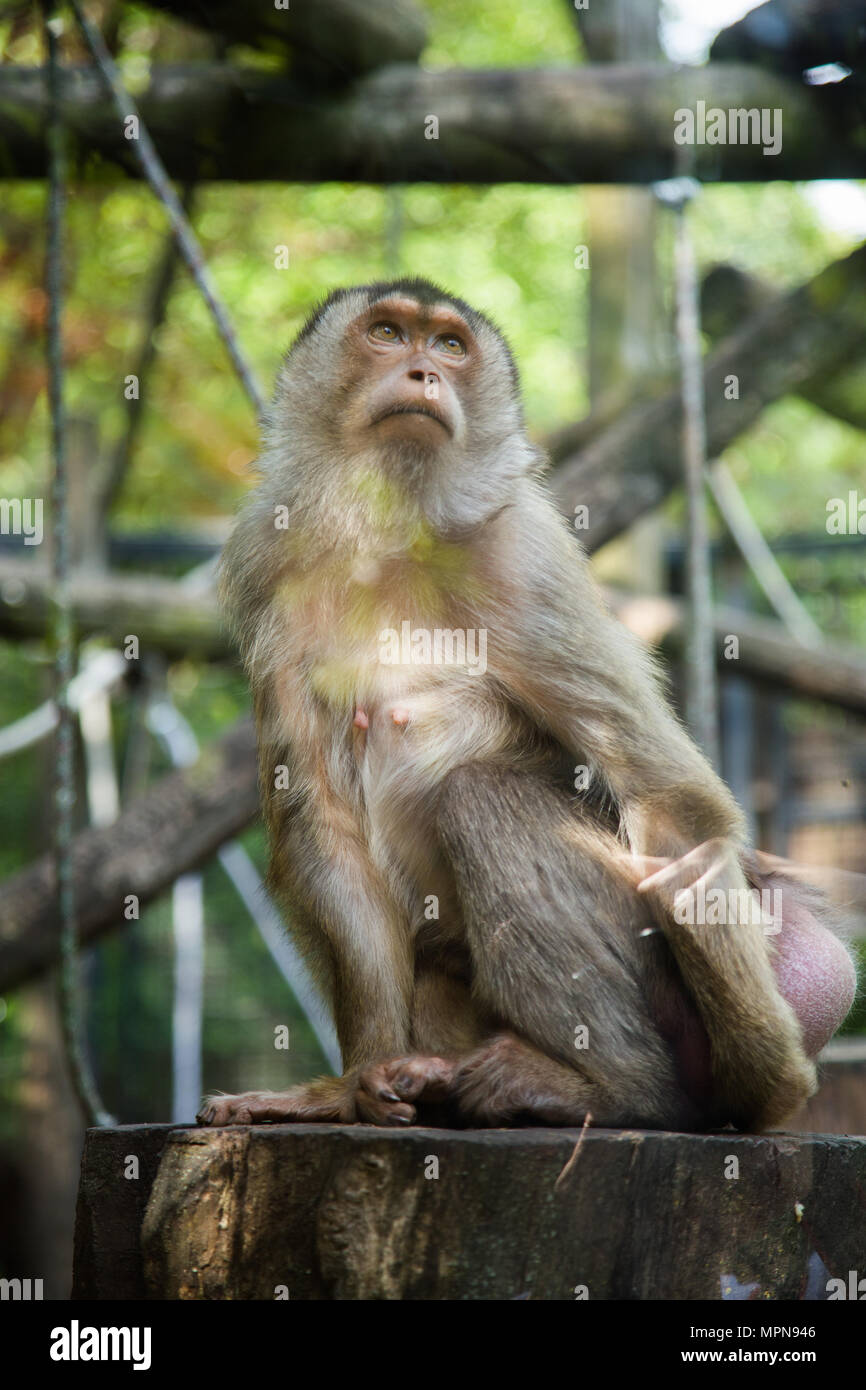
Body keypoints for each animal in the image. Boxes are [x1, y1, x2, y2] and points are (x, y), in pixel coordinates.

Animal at [197, 277, 856, 1134]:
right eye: (387, 333)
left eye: (449, 346)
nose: (422, 373)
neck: (389, 528)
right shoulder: (265, 566)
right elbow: (320, 823)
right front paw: (350, 1089)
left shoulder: (524, 557)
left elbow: (670, 803)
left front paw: (766, 1081)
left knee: (485, 797)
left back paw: (613, 1090)